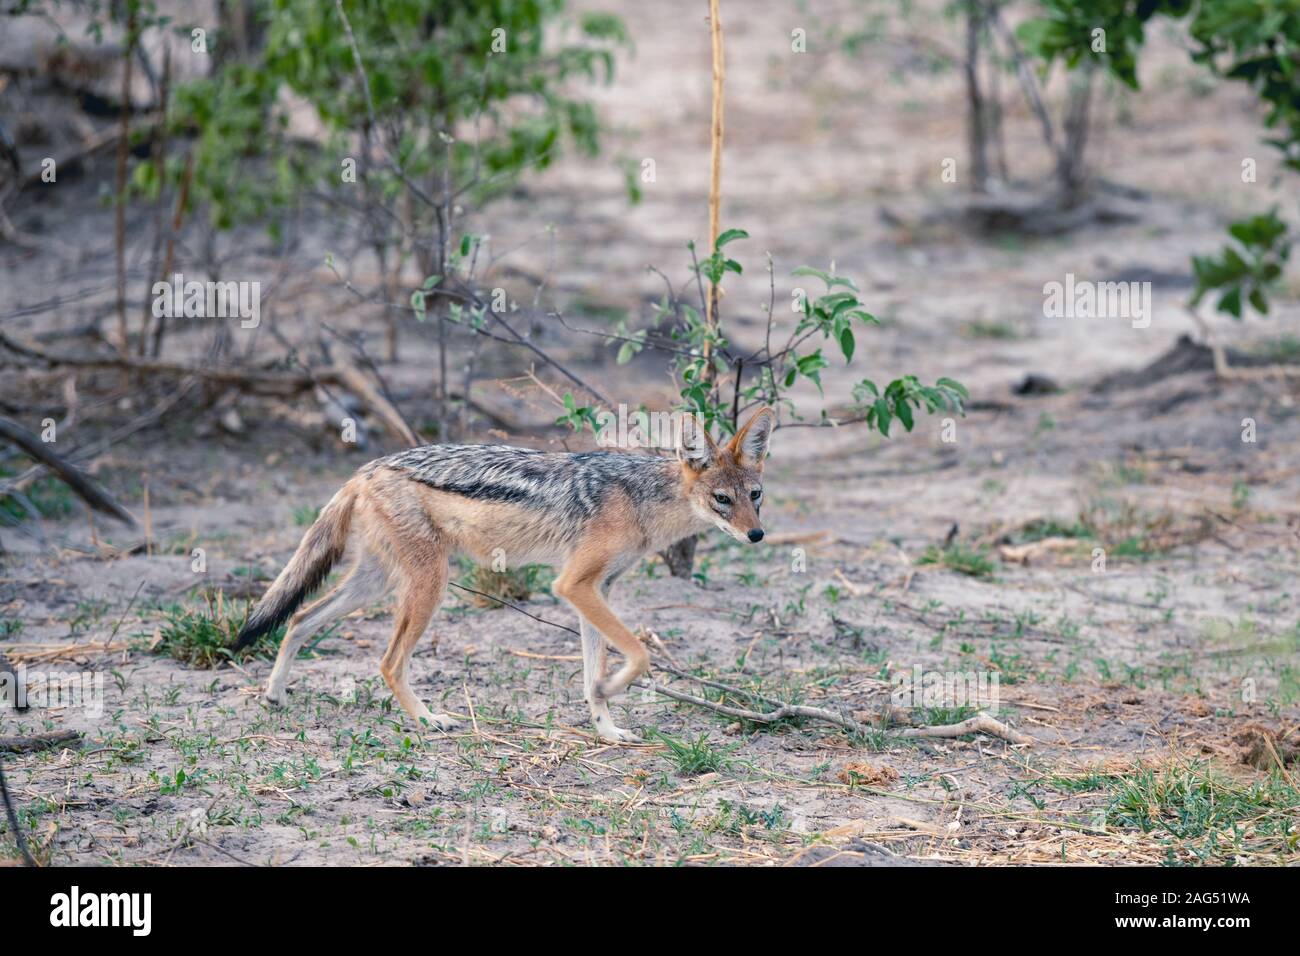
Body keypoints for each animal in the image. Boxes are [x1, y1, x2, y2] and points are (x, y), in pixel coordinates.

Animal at [235, 406, 775, 743]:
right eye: (721, 499)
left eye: (755, 495)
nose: (756, 535)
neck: (642, 500)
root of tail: (366, 469)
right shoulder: (574, 585)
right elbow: (639, 655)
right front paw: (610, 695)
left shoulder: (594, 590)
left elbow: (591, 675)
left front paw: (607, 728)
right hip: (427, 587)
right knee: (387, 662)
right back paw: (428, 719)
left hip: (375, 583)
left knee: (299, 617)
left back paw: (275, 695)